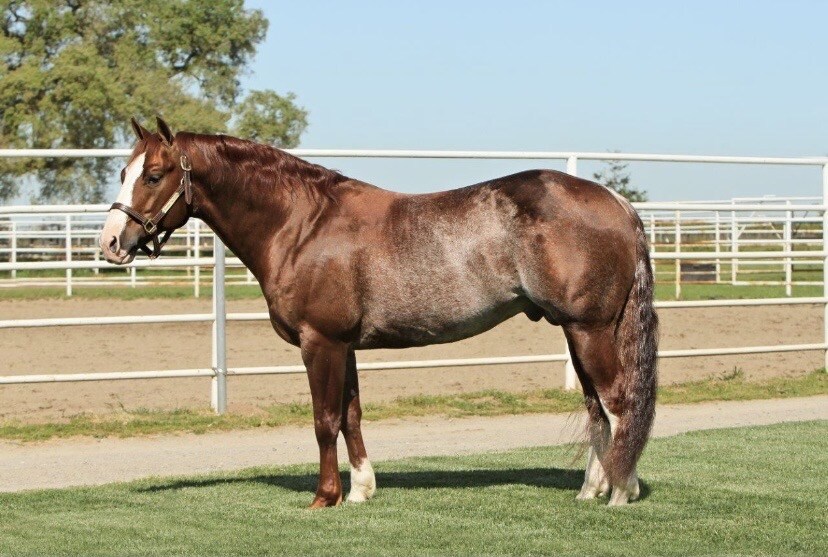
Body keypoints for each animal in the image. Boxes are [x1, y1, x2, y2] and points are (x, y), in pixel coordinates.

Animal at [100, 117, 658, 507]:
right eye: (124, 172)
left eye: (154, 175)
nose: (111, 244)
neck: (302, 224)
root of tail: (618, 204)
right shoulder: (344, 345)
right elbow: (351, 415)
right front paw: (362, 490)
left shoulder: (320, 342)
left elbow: (324, 419)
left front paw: (325, 497)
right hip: (578, 333)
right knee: (596, 408)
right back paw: (591, 490)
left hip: (589, 330)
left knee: (617, 404)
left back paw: (619, 493)